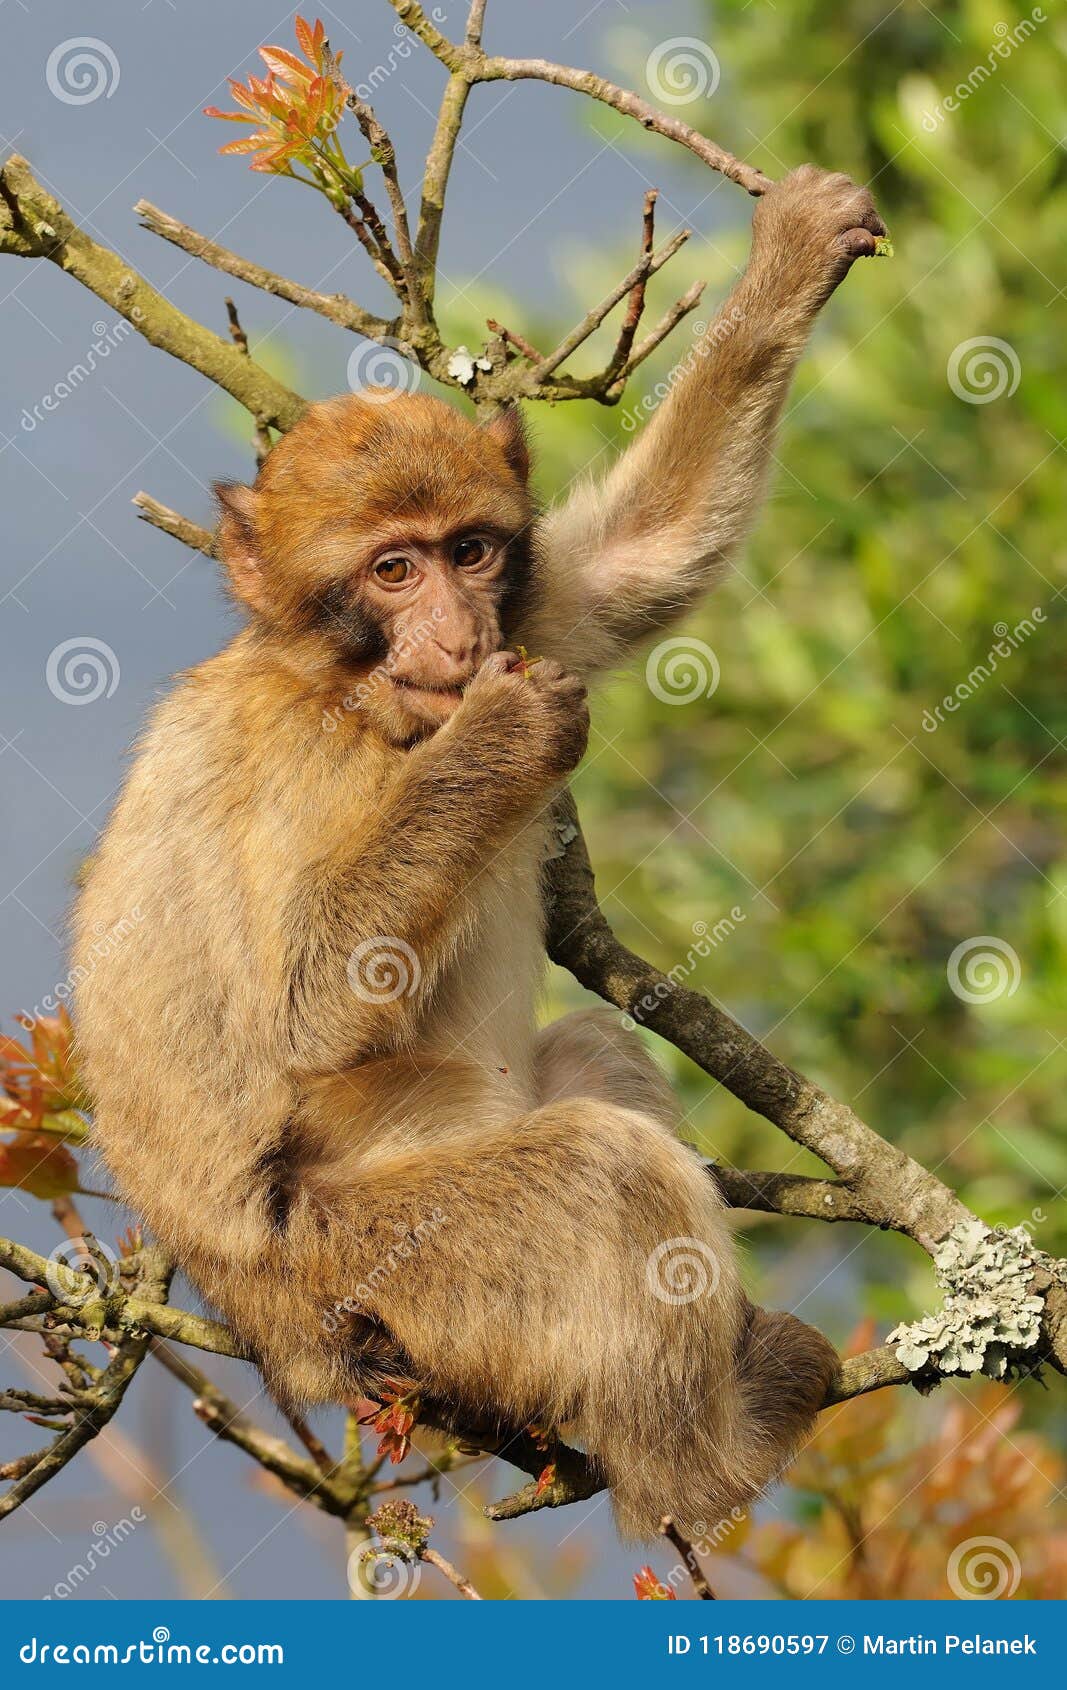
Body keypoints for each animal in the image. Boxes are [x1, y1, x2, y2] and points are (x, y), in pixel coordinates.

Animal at [73, 166, 885, 1540]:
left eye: (468, 552)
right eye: (391, 570)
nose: (456, 636)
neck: (355, 697)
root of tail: (286, 1336)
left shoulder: (534, 605)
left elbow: (637, 562)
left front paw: (790, 260)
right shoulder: (303, 766)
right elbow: (307, 1004)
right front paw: (505, 738)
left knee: (591, 1054)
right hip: (386, 1267)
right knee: (595, 1176)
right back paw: (699, 1459)